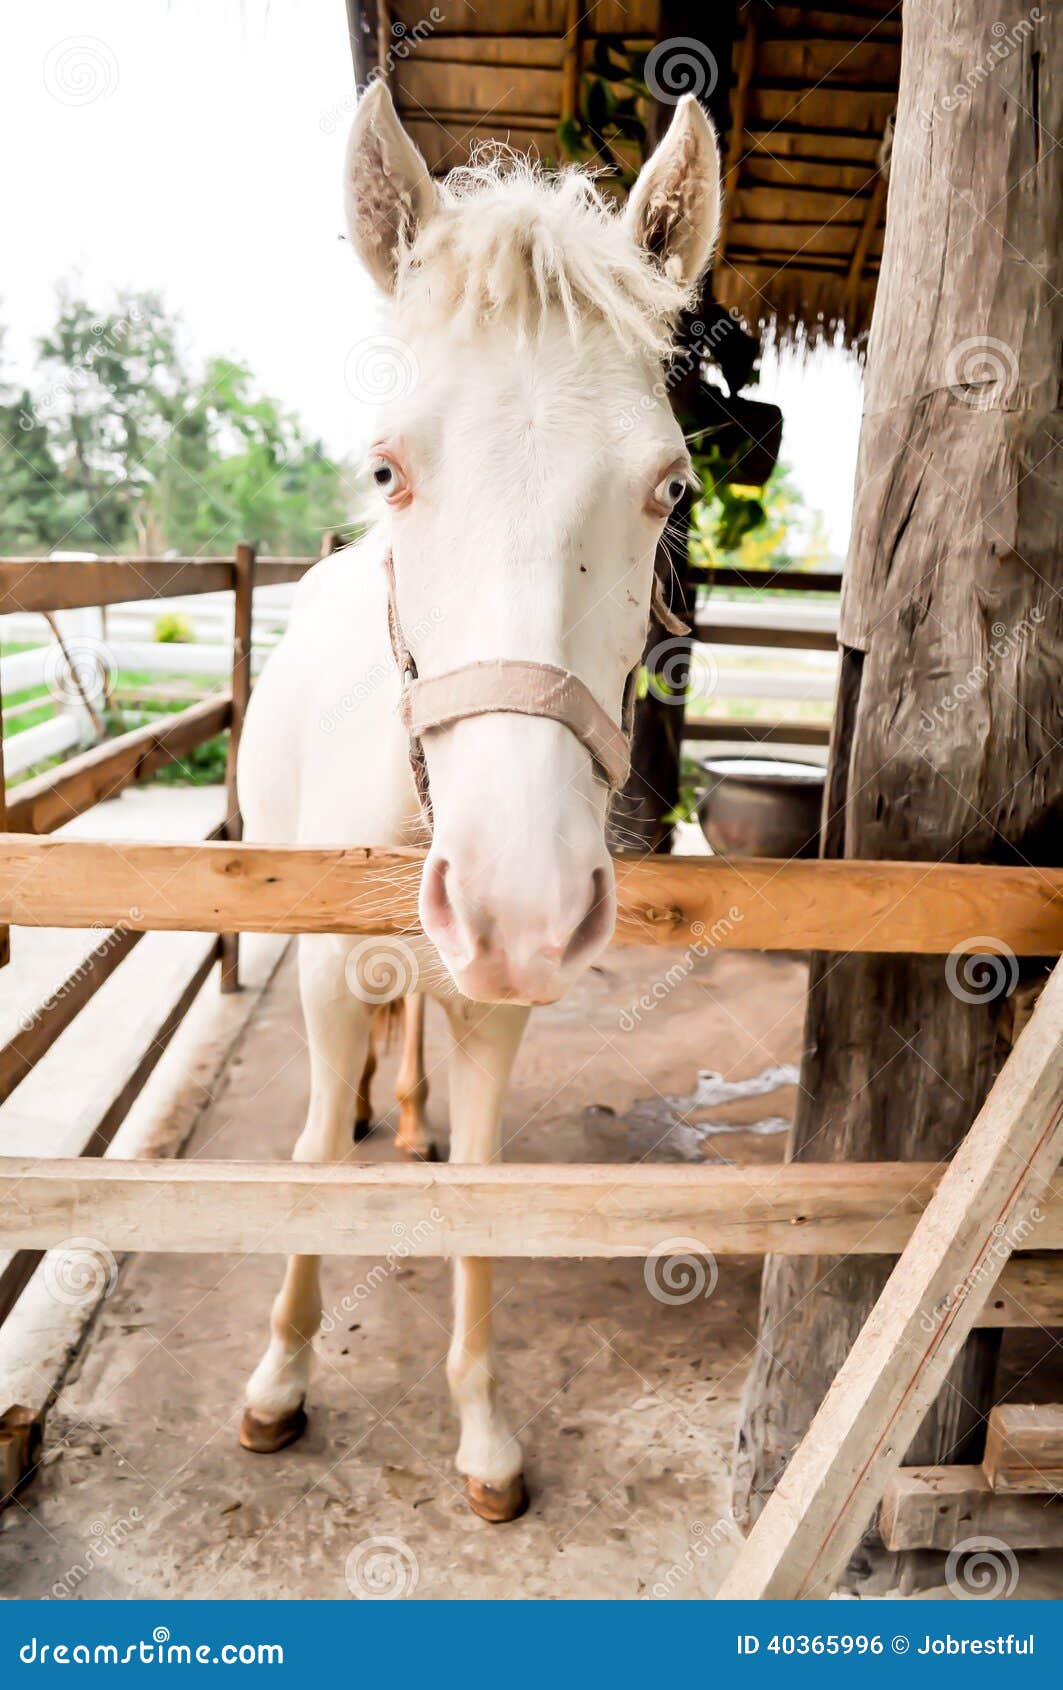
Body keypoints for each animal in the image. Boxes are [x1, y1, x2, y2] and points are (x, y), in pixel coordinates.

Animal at [236, 80, 722, 1523]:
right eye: (387, 469)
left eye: (671, 486)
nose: (517, 904)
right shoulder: (327, 972)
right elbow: (309, 1167)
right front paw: (282, 1376)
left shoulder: (500, 1009)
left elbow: (485, 1186)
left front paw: (483, 1427)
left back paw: (407, 1110)